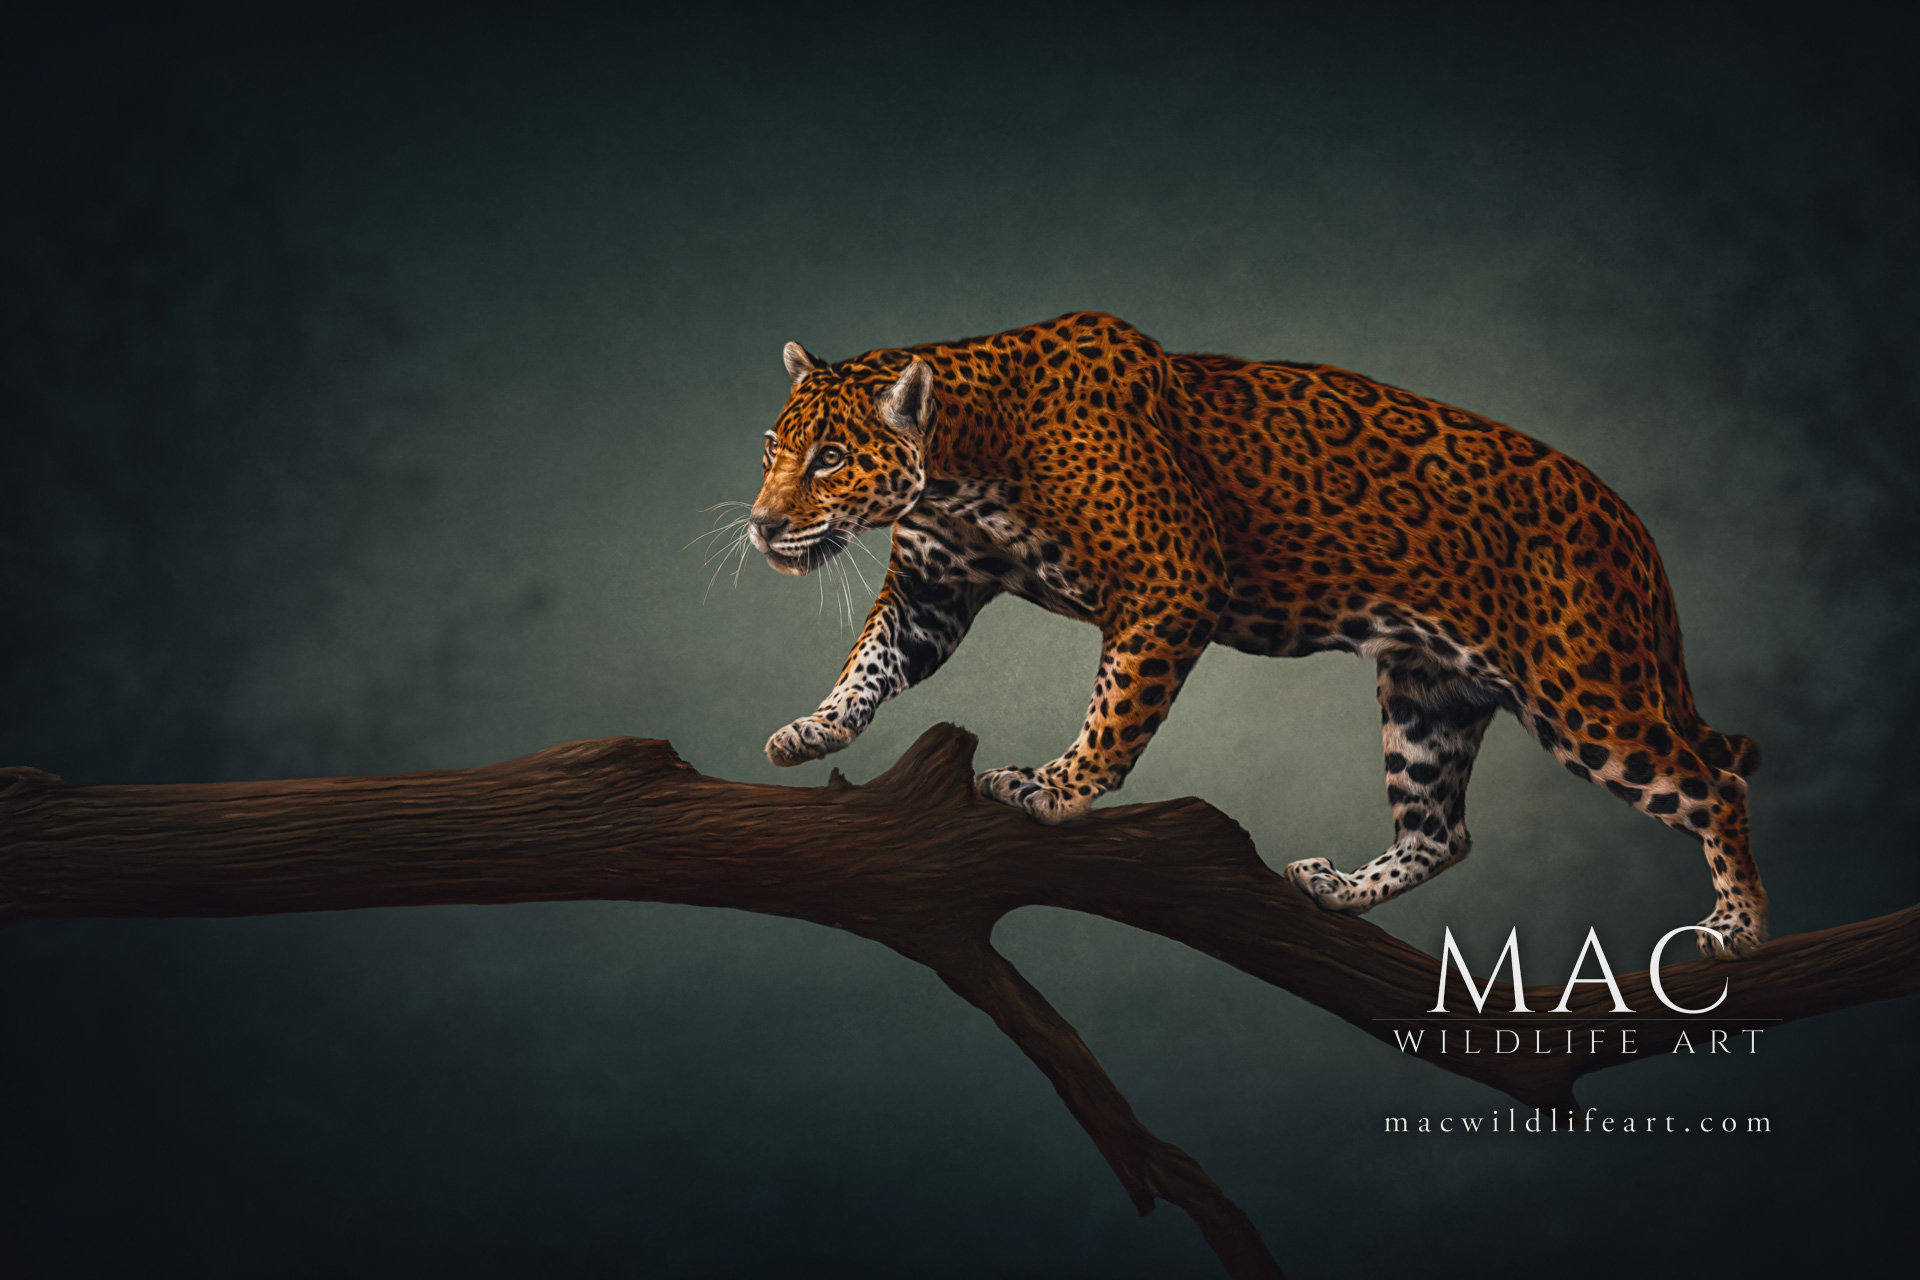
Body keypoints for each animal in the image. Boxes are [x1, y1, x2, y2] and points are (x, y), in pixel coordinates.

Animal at [737, 311, 1767, 961]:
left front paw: (1055, 789)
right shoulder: (933, 587)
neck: (964, 460)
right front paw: (814, 728)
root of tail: (1629, 526)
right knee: (1442, 829)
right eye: (773, 453)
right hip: (1430, 692)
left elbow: (1117, 709)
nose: (759, 525)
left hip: (1586, 693)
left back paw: (1739, 930)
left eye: (830, 458)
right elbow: (872, 660)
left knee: (1715, 783)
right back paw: (1337, 887)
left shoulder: (1172, 581)